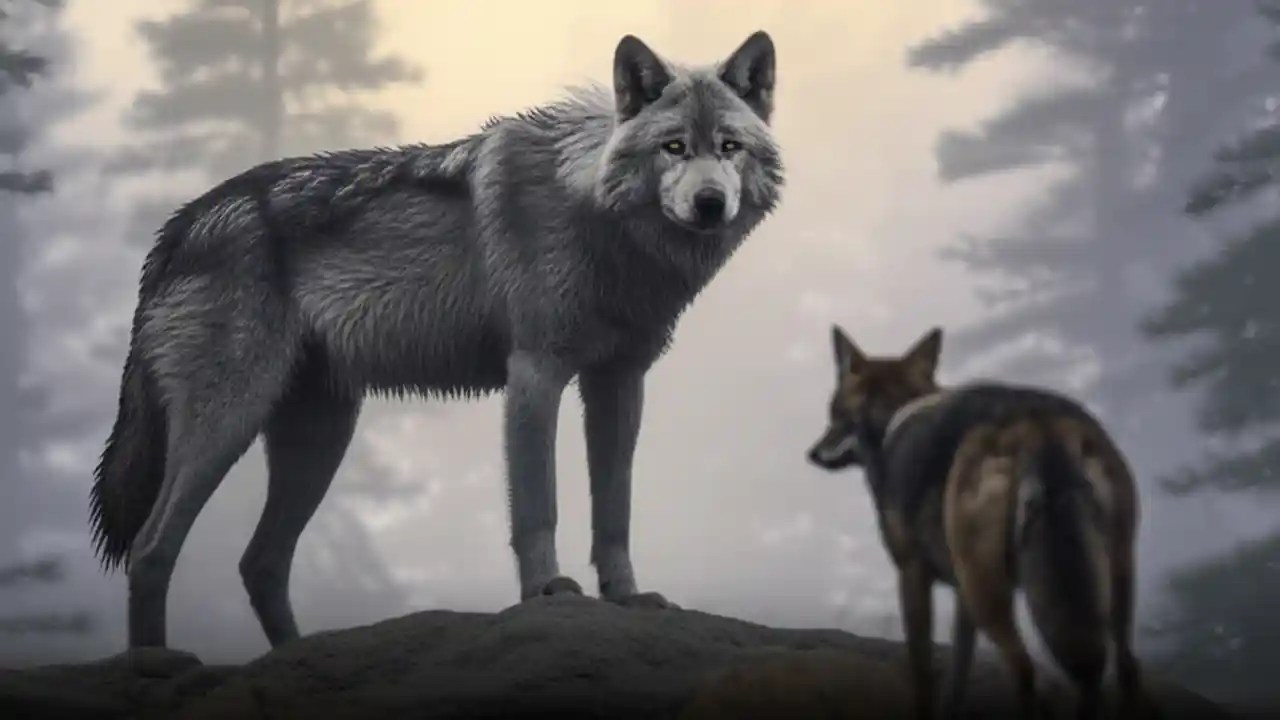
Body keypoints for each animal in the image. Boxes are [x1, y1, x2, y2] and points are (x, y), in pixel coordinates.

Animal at [90, 31, 783, 651]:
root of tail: (181, 225)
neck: (600, 219)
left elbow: (616, 510)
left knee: (260, 562)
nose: (711, 202)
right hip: (228, 423)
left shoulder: (620, 381)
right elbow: (538, 506)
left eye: (730, 147)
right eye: (674, 147)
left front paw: (627, 597)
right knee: (152, 550)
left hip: (319, 437)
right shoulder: (534, 374)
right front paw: (547, 593)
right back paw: (157, 666)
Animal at [806, 327, 1147, 720]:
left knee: (1026, 672)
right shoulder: (961, 595)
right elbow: (958, 674)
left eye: (833, 412)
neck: (895, 417)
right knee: (1124, 668)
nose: (811, 453)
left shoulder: (913, 573)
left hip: (990, 593)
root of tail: (1035, 424)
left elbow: (923, 672)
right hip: (1112, 583)